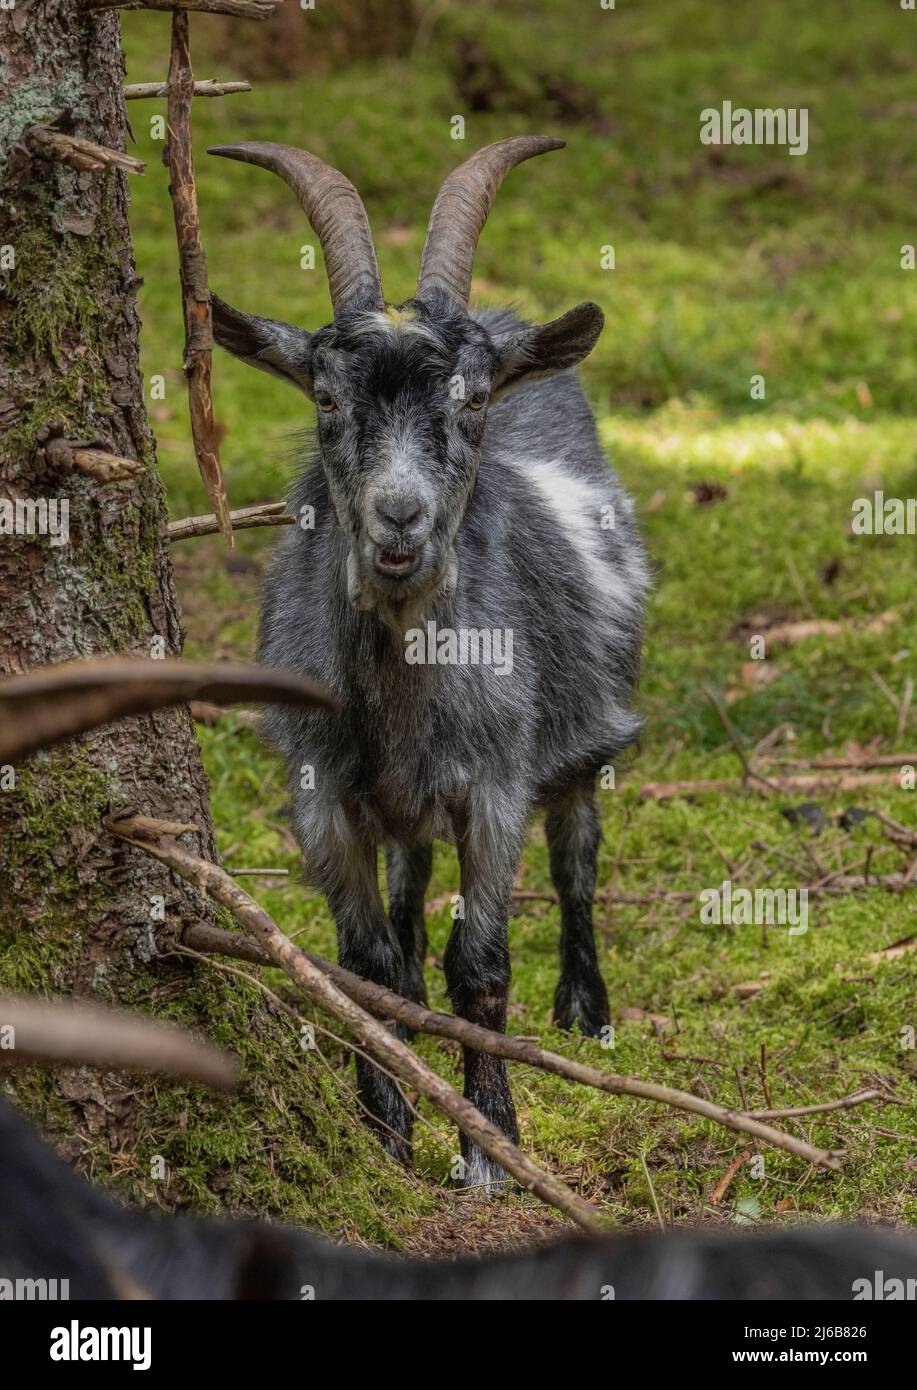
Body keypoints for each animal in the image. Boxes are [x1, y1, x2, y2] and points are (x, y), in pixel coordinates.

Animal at [209, 136, 649, 1187]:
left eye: (475, 399)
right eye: (325, 399)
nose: (399, 521)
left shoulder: (493, 785)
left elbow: (480, 967)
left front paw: (490, 1141)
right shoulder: (323, 791)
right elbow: (368, 965)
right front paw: (386, 1128)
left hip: (585, 734)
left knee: (576, 854)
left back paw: (585, 1009)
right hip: (399, 806)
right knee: (409, 899)